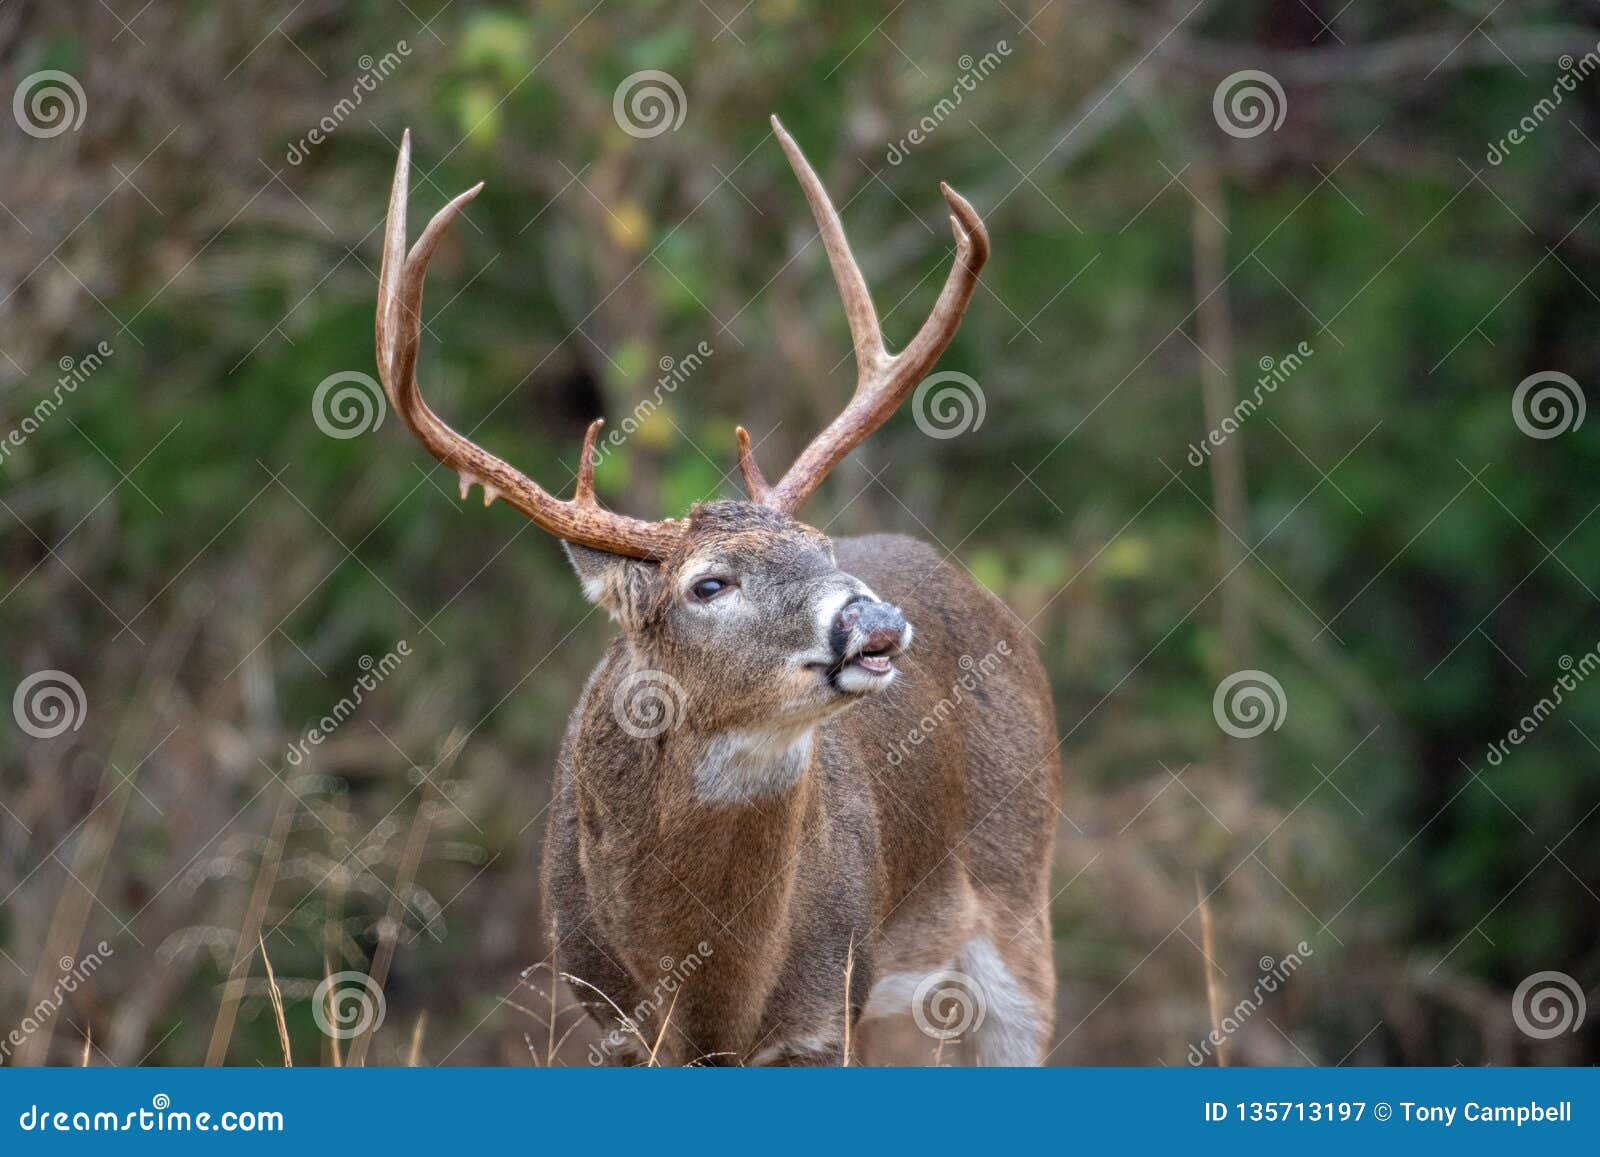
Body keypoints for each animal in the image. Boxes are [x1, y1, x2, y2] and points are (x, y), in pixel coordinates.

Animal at [374, 118, 1060, 1065]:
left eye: (820, 546)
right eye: (709, 583)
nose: (876, 619)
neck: (713, 990)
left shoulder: (824, 1013)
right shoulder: (613, 1022)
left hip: (1017, 902)